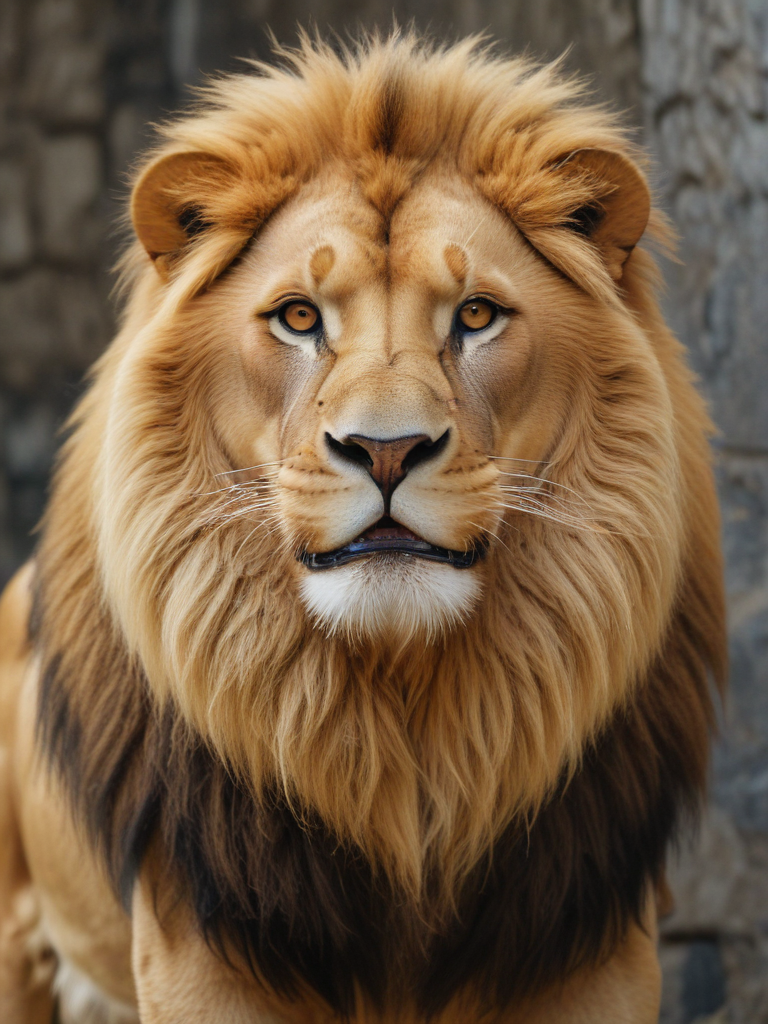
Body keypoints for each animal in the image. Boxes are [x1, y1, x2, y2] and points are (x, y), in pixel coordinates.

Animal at [0, 33, 725, 1024]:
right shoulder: (208, 951)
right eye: (299, 317)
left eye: (476, 313)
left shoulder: (587, 939)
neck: (401, 697)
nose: (387, 450)